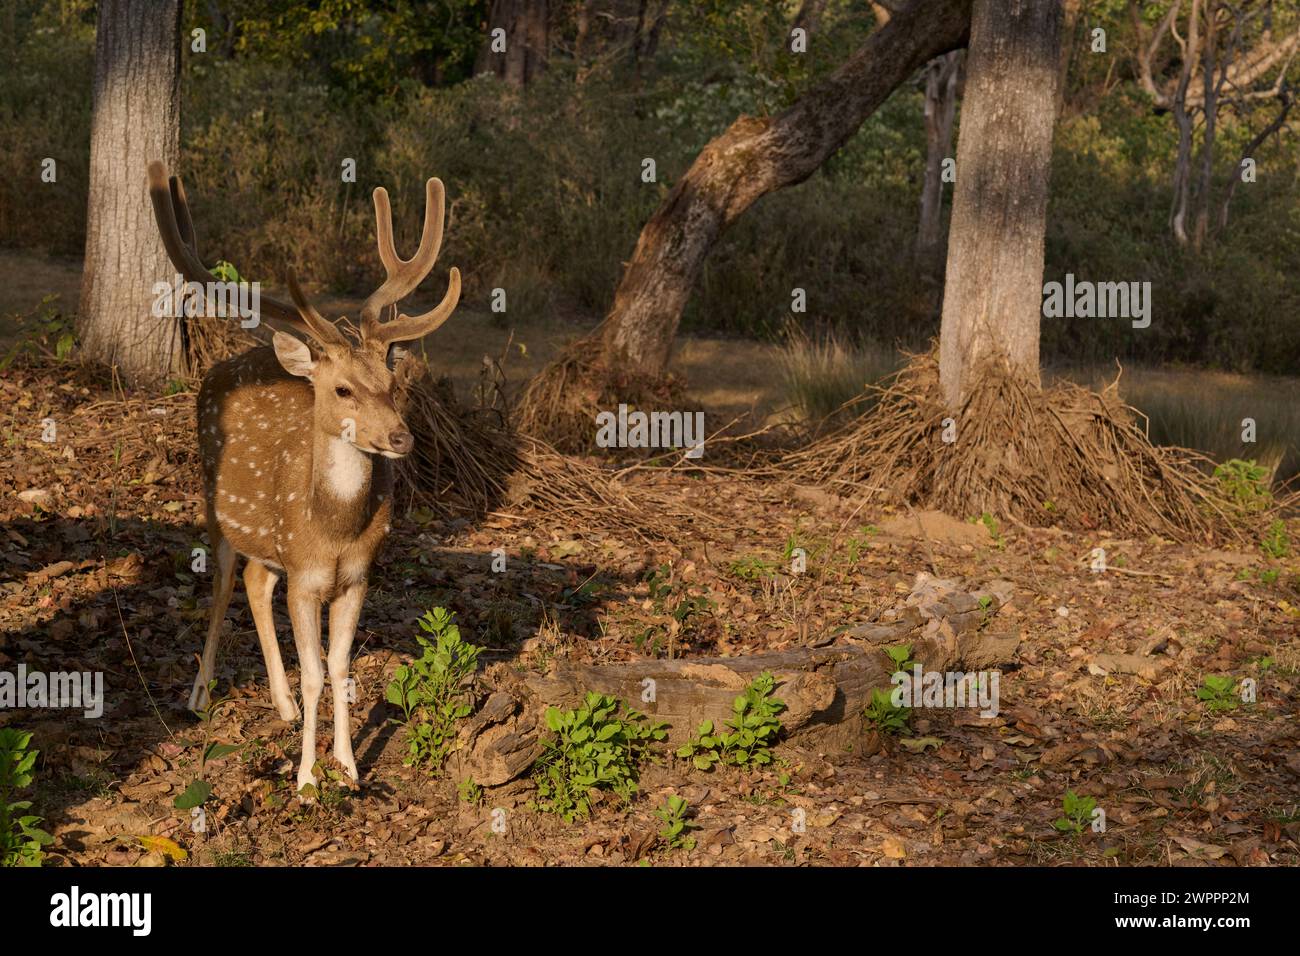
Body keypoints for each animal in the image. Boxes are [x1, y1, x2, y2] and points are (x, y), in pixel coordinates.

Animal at [146, 160, 461, 793]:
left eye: (392, 384)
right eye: (342, 389)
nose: (401, 438)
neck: (333, 531)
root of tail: (228, 362)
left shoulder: (356, 576)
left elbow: (339, 669)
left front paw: (349, 766)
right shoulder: (305, 576)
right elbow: (316, 671)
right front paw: (308, 780)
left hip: (270, 548)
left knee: (254, 582)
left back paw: (283, 703)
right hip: (215, 508)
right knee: (223, 586)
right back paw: (200, 695)